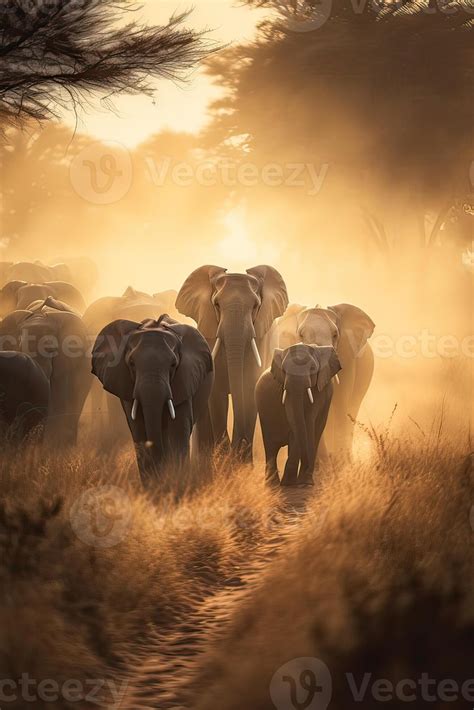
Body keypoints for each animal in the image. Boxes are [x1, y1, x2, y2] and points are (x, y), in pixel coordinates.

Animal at [92, 315, 214, 485]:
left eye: (173, 364)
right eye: (131, 363)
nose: (162, 476)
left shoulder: (184, 379)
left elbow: (178, 428)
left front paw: (177, 482)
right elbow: (138, 429)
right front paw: (152, 486)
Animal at [176, 265, 289, 461]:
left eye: (255, 306)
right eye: (216, 305)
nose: (241, 442)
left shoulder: (260, 338)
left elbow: (249, 387)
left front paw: (240, 460)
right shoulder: (210, 334)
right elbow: (217, 390)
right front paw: (224, 457)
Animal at [256, 343, 341, 486]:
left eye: (312, 369)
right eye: (284, 370)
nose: (308, 481)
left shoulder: (320, 391)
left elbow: (307, 422)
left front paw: (302, 483)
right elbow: (300, 424)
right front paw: (291, 483)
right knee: (271, 446)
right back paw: (273, 484)